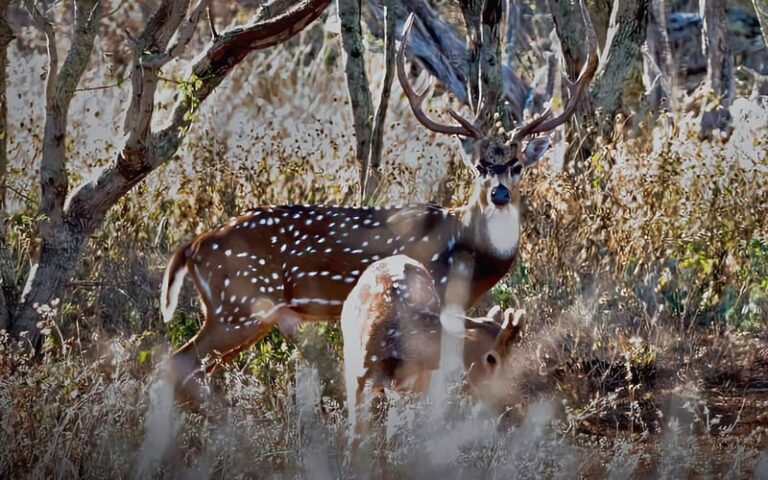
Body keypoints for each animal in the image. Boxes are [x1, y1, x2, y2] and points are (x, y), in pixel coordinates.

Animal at [160, 3, 597, 406]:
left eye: (518, 165)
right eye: (479, 167)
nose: (500, 194)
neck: (468, 252)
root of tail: (192, 247)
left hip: (240, 311)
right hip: (239, 304)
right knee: (177, 362)